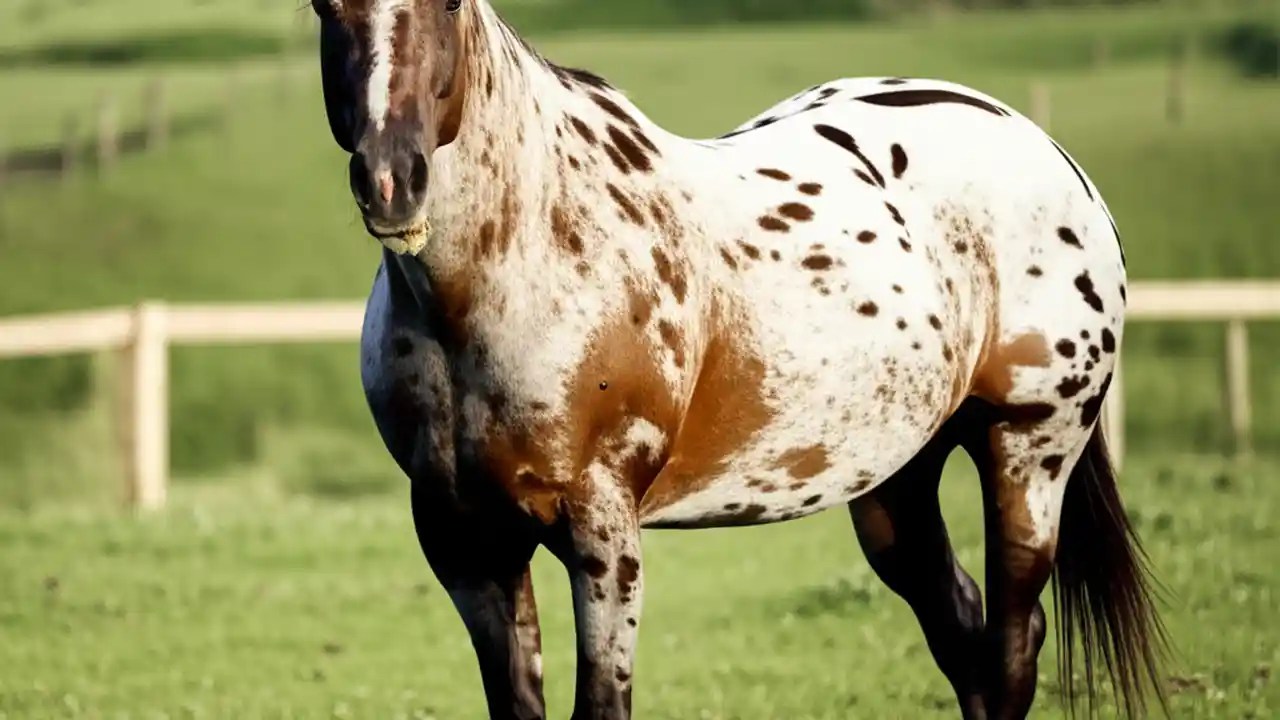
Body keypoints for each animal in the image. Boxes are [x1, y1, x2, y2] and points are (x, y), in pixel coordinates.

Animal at [311, 1, 1167, 717]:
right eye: (327, 6)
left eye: (448, 4)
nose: (391, 179)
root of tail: (1047, 151)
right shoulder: (465, 541)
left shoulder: (602, 530)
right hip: (896, 481)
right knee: (965, 641)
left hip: (1028, 450)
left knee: (1012, 650)